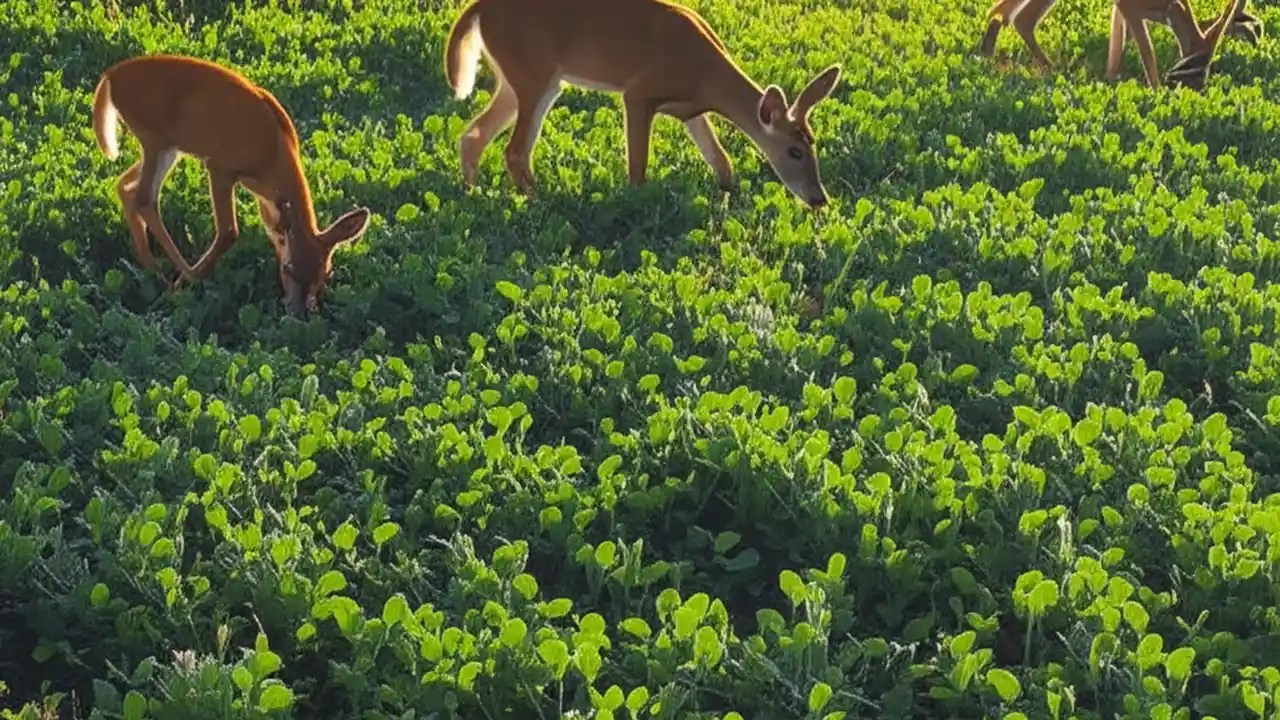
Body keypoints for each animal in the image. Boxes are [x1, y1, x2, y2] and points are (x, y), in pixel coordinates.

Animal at [91, 54, 372, 317]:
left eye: (325, 273)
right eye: (288, 269)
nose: (298, 312)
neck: (273, 155)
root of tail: (109, 77)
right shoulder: (221, 167)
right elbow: (229, 232)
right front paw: (186, 283)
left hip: (167, 146)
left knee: (125, 186)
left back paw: (151, 269)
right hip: (155, 137)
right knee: (144, 199)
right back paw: (171, 279)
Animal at [443, 0, 843, 209]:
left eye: (814, 145)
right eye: (794, 152)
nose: (820, 198)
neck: (705, 75)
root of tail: (479, 8)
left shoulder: (691, 111)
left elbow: (721, 159)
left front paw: (727, 196)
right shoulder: (639, 92)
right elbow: (638, 166)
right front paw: (633, 204)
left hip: (519, 76)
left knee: (474, 135)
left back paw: (472, 192)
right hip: (535, 73)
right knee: (515, 149)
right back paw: (538, 200)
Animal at [978, 0, 1258, 90]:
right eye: (1193, 71)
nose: (1197, 93)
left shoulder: (1125, 8)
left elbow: (1119, 43)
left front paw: (1111, 78)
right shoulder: (1130, 5)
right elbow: (1146, 50)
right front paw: (1156, 92)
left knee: (1009, 14)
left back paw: (989, 44)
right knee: (1023, 20)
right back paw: (1053, 69)